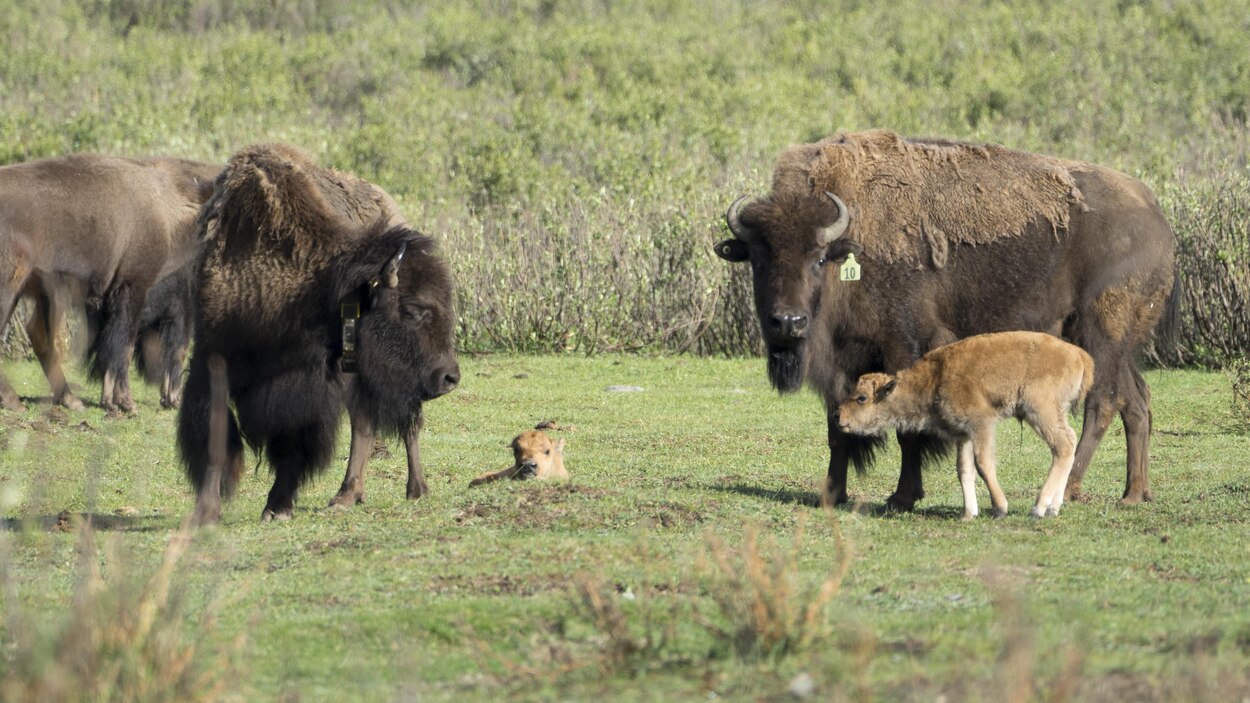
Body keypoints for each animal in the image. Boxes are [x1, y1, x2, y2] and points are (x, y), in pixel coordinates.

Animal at [0, 154, 220, 412]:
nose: (174, 400)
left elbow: (110, 349)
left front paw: (110, 401)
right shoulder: (134, 288)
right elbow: (123, 347)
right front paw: (126, 403)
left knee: (41, 337)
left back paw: (70, 400)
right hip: (12, 289)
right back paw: (16, 402)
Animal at [178, 143, 460, 524]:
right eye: (413, 309)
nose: (450, 377)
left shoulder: (308, 386)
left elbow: (294, 439)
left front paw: (277, 507)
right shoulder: (210, 363)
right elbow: (215, 438)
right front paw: (206, 512)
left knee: (402, 423)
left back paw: (412, 489)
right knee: (368, 423)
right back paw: (349, 495)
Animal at [716, 130, 1176, 510]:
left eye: (817, 258)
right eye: (758, 257)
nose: (788, 322)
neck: (852, 252)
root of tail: (1156, 217)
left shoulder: (902, 347)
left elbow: (905, 428)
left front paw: (902, 497)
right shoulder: (842, 364)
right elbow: (837, 427)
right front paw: (832, 495)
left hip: (1101, 335)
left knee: (1103, 403)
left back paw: (1073, 489)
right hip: (1116, 344)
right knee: (1137, 401)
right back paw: (1134, 494)